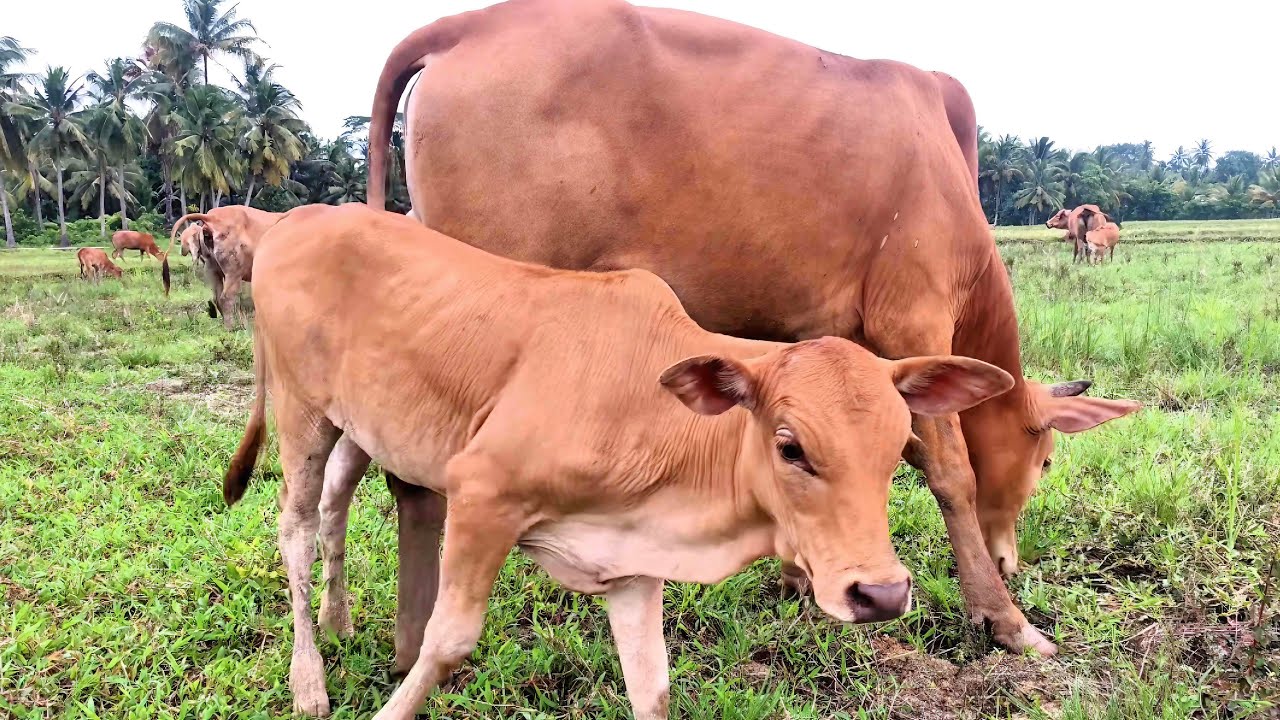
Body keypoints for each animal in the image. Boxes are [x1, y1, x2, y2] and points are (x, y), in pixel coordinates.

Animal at [222, 203, 1015, 718]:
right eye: (790, 447)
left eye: (898, 451)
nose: (880, 595)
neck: (657, 415)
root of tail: (294, 218)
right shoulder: (482, 493)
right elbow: (447, 642)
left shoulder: (632, 564)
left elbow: (653, 688)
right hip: (300, 413)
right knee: (294, 528)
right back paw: (309, 681)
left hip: (355, 426)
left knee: (335, 508)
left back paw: (339, 624)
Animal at [364, 0, 1142, 656]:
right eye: (1046, 459)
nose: (1012, 558)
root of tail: (462, 27)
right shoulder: (915, 318)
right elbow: (950, 473)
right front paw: (1004, 616)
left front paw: (801, 578)